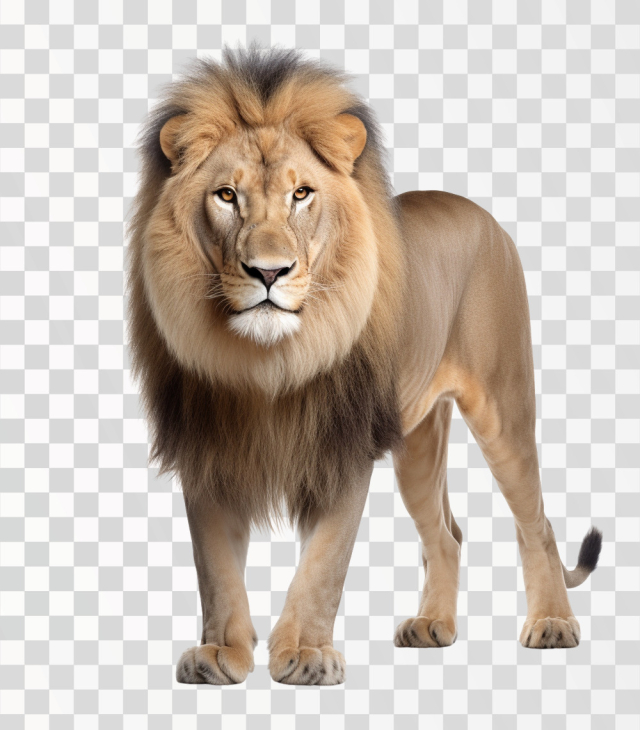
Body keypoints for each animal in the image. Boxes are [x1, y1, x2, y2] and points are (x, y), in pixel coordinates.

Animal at [127, 47, 602, 686]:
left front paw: (305, 653)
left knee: (539, 524)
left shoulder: (344, 446)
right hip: (418, 443)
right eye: (226, 196)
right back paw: (432, 626)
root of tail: (479, 211)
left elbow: (322, 565)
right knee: (447, 535)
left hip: (504, 408)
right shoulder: (208, 450)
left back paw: (552, 623)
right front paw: (221, 653)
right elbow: (217, 570)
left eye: (302, 194)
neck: (269, 364)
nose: (269, 272)